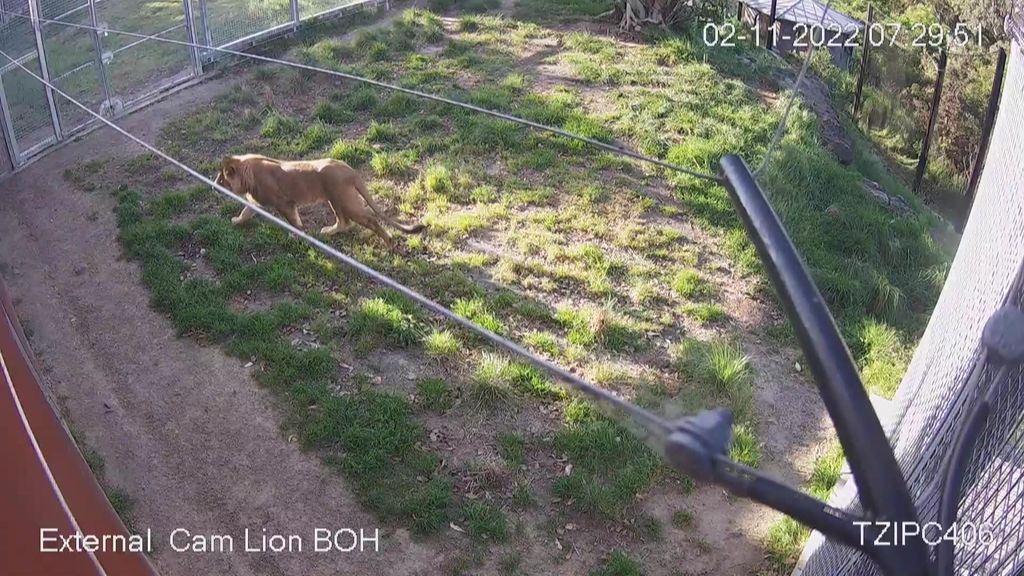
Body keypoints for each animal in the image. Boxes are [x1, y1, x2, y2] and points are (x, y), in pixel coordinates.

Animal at [213, 154, 424, 247]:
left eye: (222, 179)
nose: (214, 186)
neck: (247, 173)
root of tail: (349, 169)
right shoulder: (257, 203)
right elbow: (245, 212)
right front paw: (236, 221)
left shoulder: (285, 204)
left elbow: (294, 222)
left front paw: (297, 235)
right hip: (335, 200)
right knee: (344, 222)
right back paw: (329, 231)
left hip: (345, 201)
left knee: (370, 220)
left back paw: (389, 243)